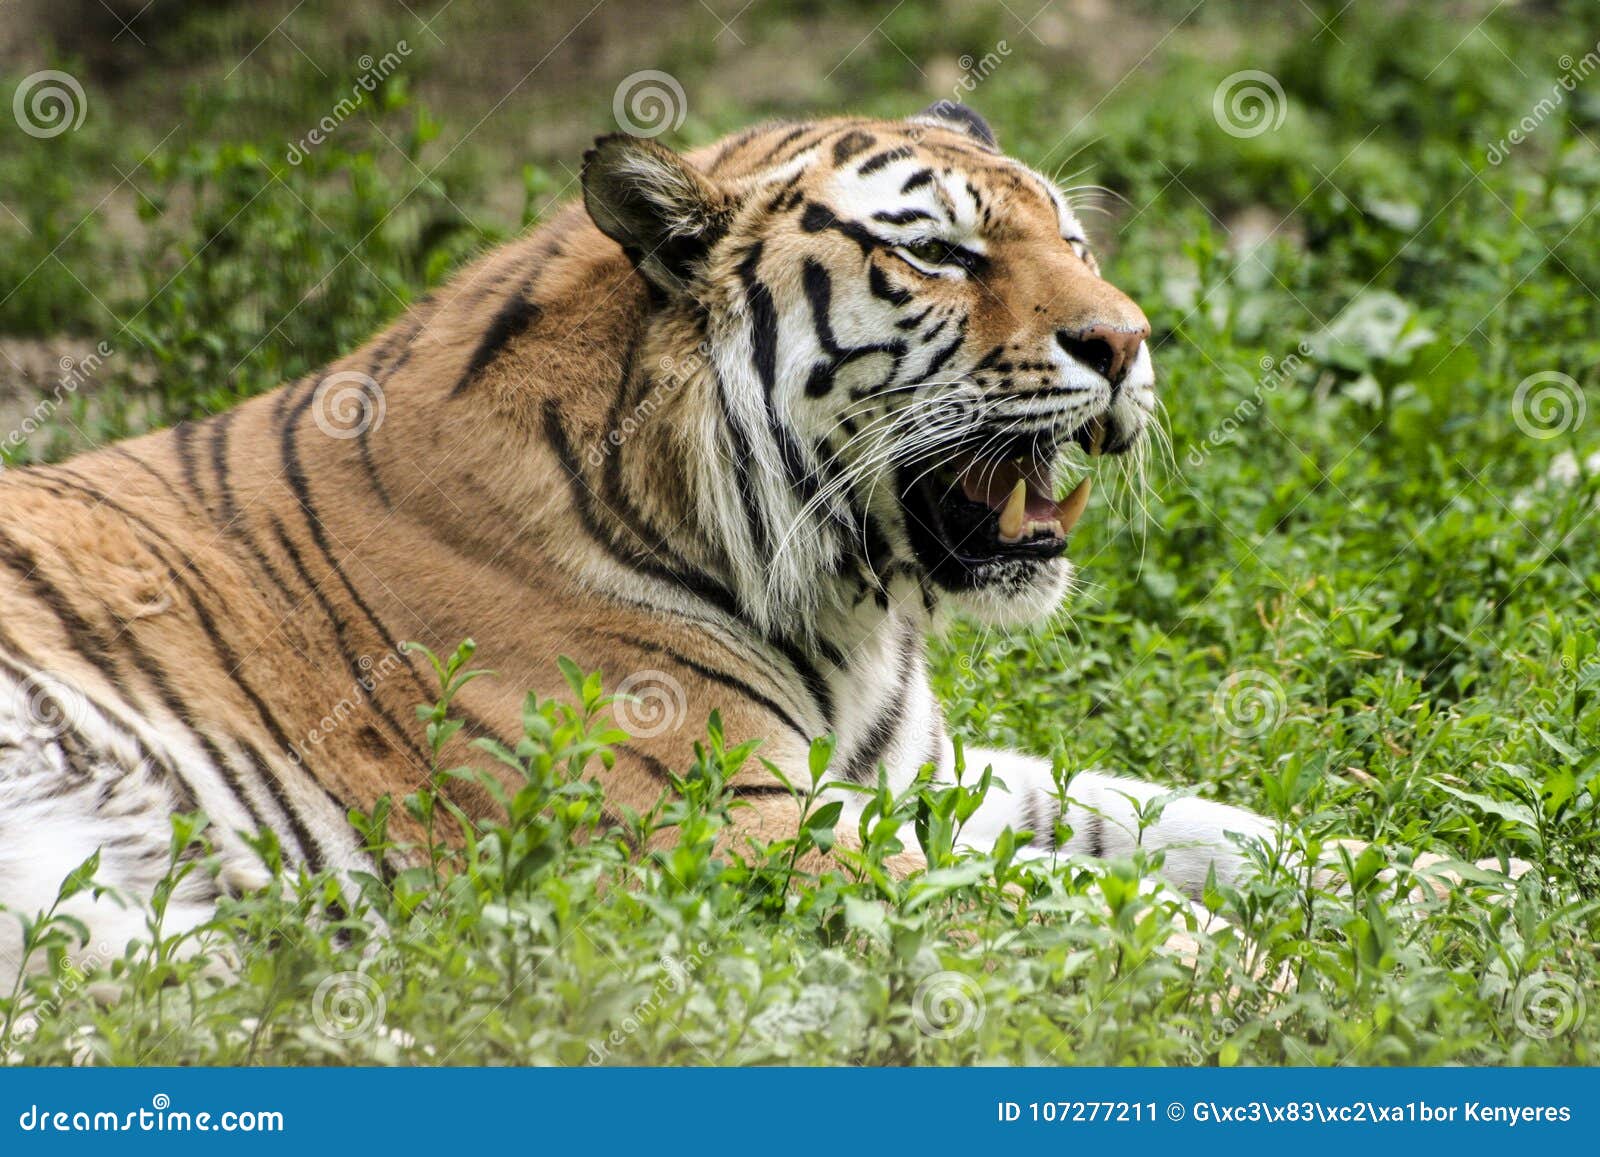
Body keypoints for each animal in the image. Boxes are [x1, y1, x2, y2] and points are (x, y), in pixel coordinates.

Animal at [0, 104, 1509, 976]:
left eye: (1073, 241)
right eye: (942, 254)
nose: (1129, 342)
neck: (852, 601)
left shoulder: (923, 773)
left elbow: (1207, 822)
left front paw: (1478, 889)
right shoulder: (728, 827)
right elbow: (1080, 897)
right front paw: (1279, 979)